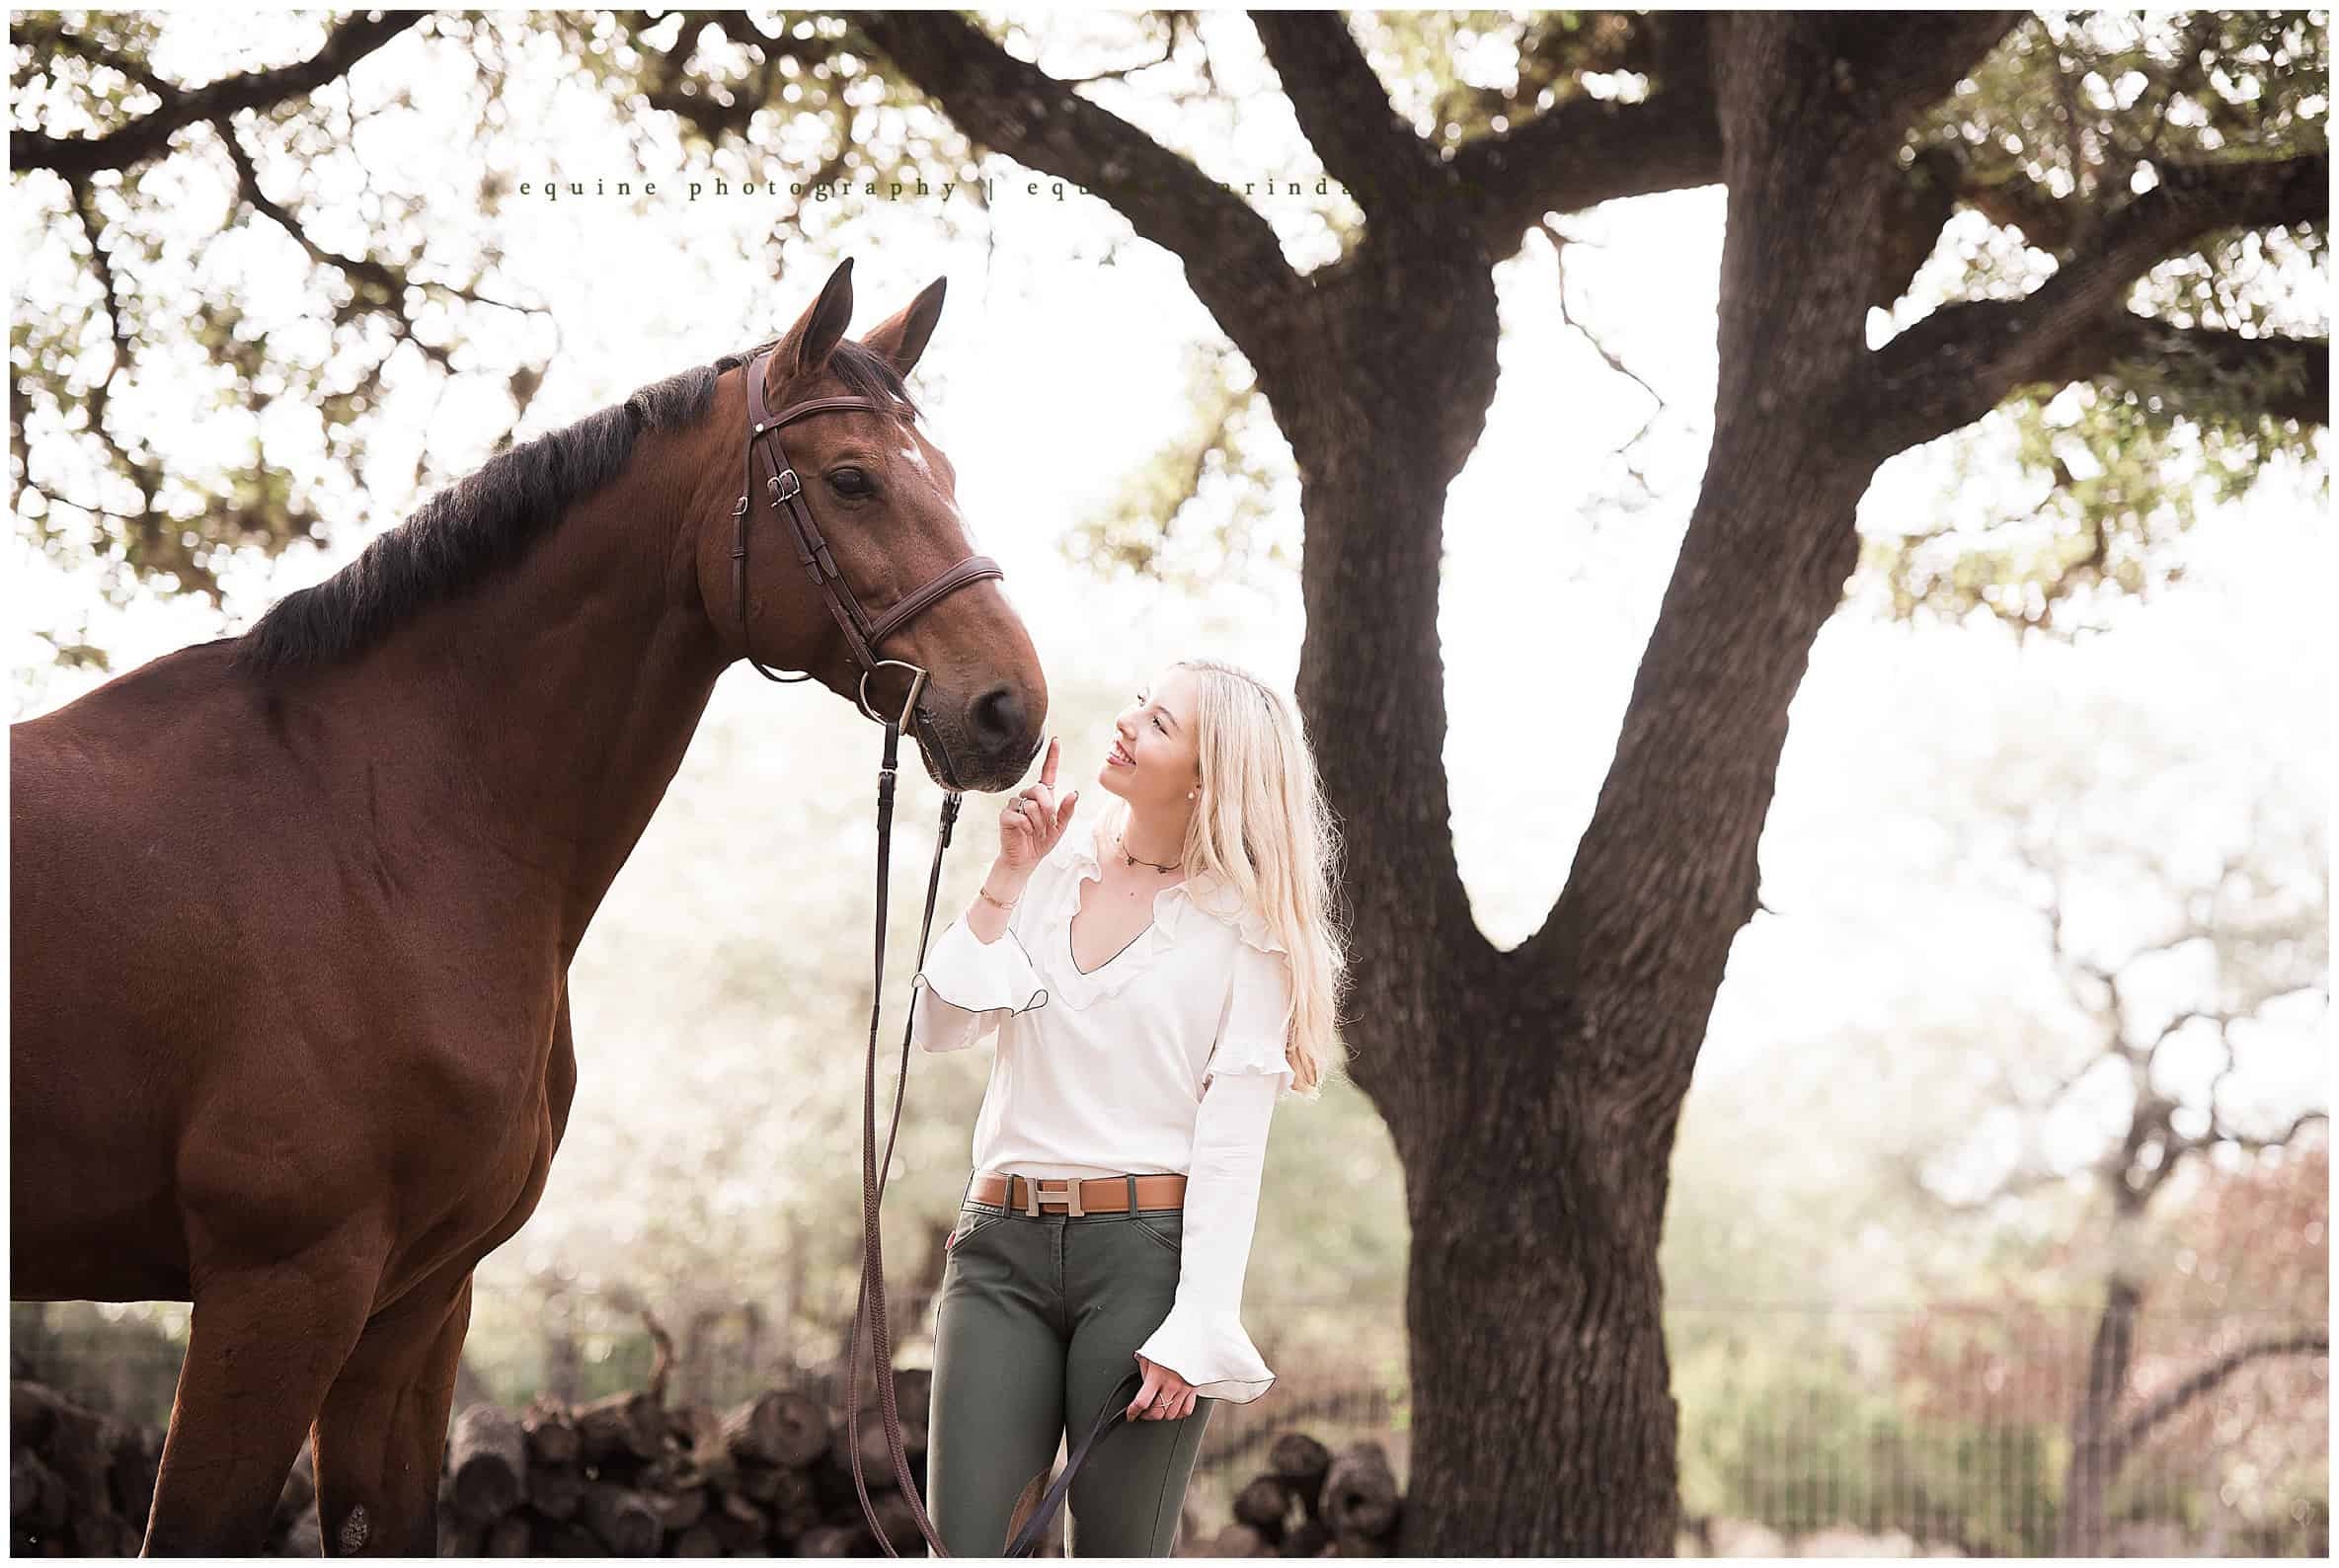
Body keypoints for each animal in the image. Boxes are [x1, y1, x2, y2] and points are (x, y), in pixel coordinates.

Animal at [9, 256, 1047, 1555]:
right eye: (852, 478)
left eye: (942, 476)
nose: (1013, 709)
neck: (371, 826)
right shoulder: (280, 1286)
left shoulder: (414, 1305)